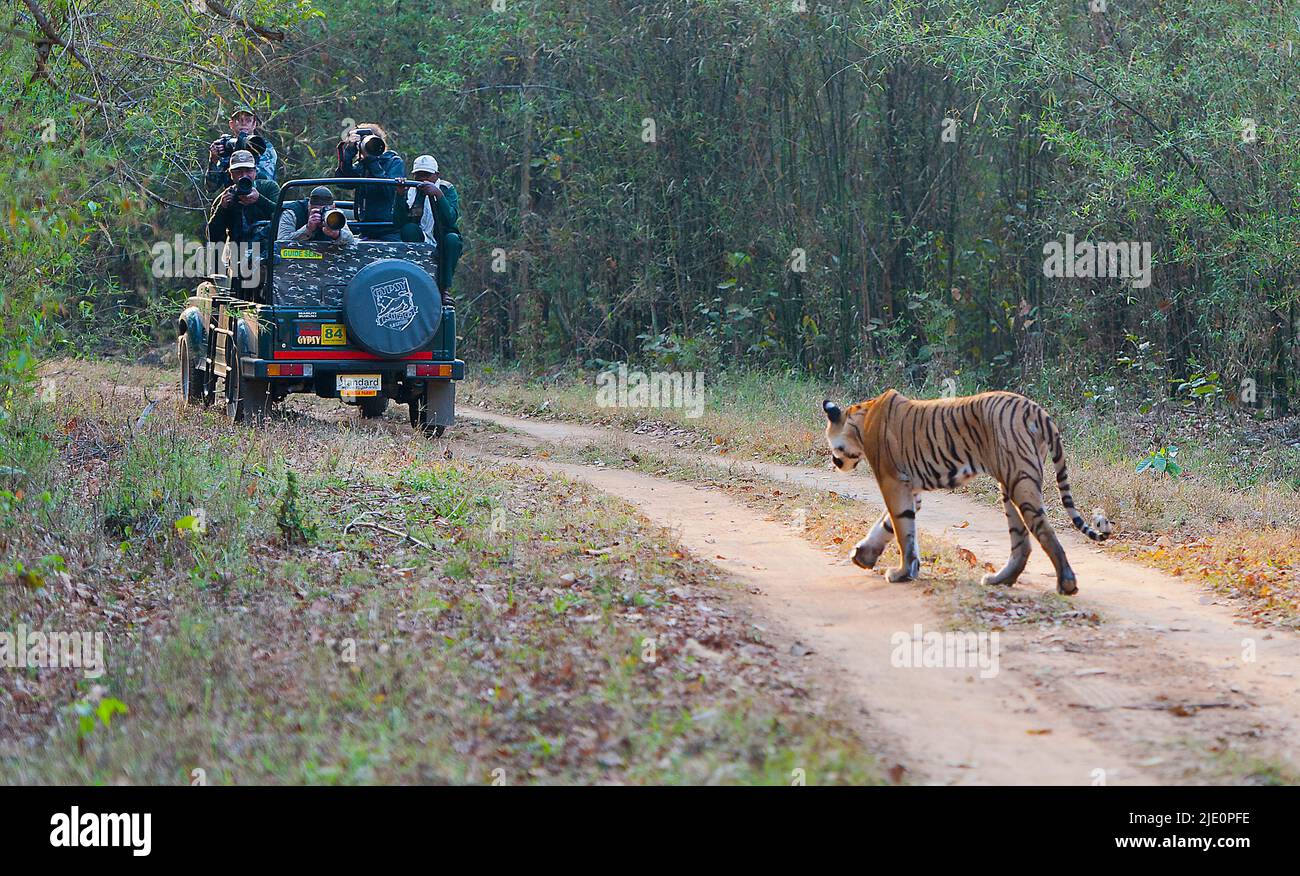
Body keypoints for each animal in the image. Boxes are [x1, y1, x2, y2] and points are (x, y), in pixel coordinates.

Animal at [822, 389, 1111, 595]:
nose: (834, 462)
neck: (860, 420)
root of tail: (1036, 409)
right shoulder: (910, 489)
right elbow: (889, 525)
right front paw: (863, 556)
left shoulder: (892, 481)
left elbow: (902, 531)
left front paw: (902, 573)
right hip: (1011, 484)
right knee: (1021, 541)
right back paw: (1000, 579)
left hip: (1020, 480)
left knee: (1044, 530)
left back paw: (1066, 584)